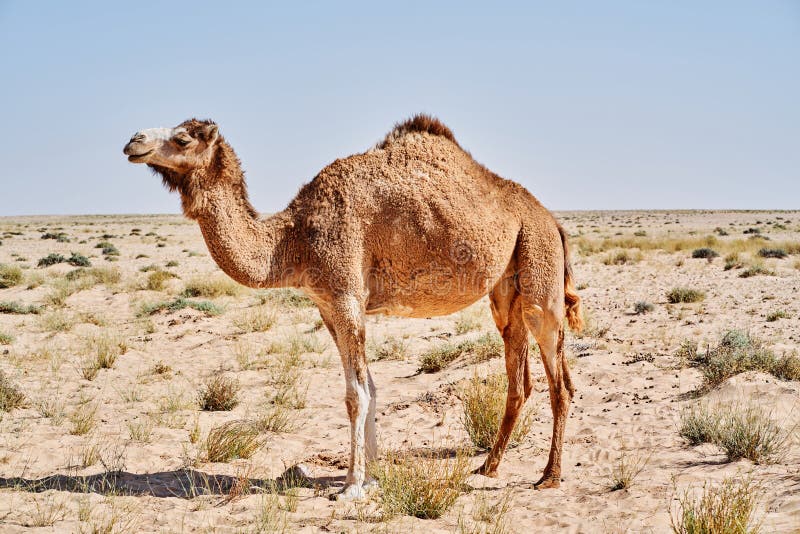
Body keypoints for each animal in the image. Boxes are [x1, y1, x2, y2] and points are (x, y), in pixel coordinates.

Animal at [123, 115, 584, 499]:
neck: (293, 239)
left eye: (182, 138)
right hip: (508, 288)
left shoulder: (345, 295)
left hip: (539, 270)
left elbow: (355, 395)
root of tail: (552, 220)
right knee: (518, 377)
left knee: (558, 379)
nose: (133, 140)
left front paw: (352, 484)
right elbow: (370, 389)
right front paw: (374, 475)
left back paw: (549, 476)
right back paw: (488, 467)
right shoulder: (327, 307)